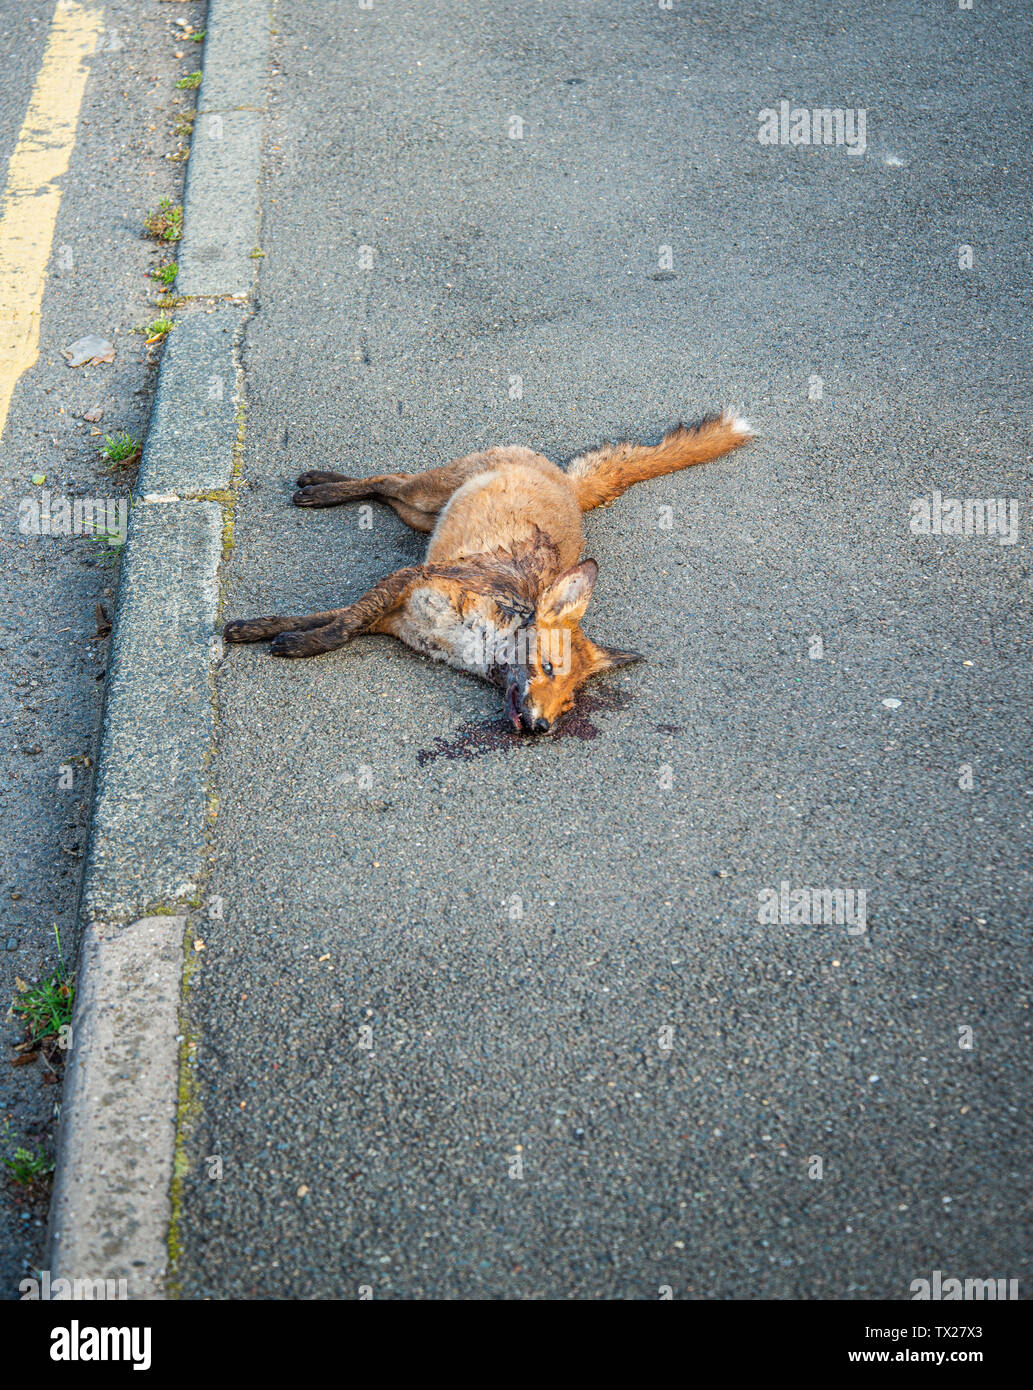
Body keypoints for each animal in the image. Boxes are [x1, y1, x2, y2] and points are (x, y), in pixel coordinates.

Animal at [223, 410, 753, 732]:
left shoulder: (393, 614)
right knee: (387, 479)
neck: (465, 644)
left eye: (568, 700)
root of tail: (567, 484)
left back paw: (322, 486)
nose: (541, 727)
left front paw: (264, 631)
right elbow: (337, 627)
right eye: (547, 667)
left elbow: (325, 619)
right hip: (428, 494)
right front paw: (289, 642)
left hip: (418, 517)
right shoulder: (408, 580)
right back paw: (321, 487)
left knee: (385, 490)